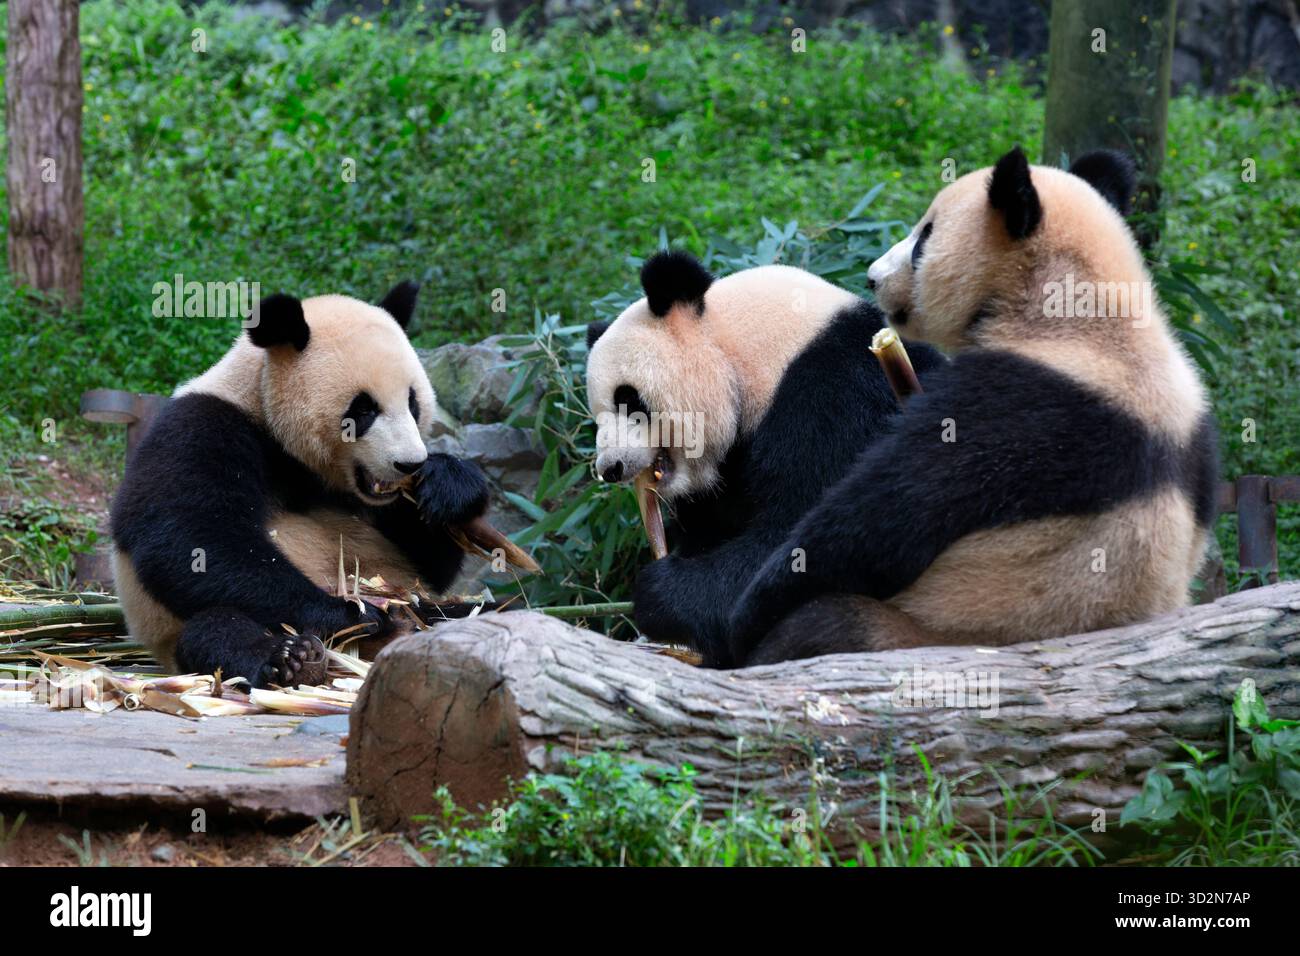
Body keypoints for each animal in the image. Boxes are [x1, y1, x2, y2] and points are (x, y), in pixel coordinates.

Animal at [110, 284, 490, 687]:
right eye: (364, 409)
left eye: (413, 402)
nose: (409, 463)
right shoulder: (204, 425)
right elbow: (190, 539)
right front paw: (353, 614)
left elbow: (430, 566)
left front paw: (448, 484)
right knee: (215, 625)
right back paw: (290, 656)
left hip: (429, 609)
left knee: (468, 610)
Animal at [585, 251, 944, 656]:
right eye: (597, 417)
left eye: (628, 399)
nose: (610, 467)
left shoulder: (837, 396)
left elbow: (795, 537)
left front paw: (659, 593)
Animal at [725, 147, 1220, 668]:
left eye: (924, 236)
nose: (873, 277)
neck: (1087, 317)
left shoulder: (1019, 404)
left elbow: (875, 527)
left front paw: (747, 615)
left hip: (922, 630)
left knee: (825, 623)